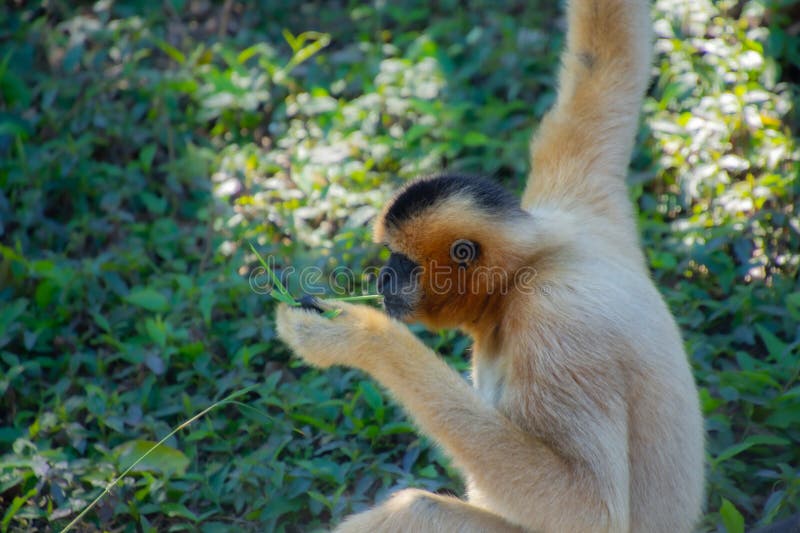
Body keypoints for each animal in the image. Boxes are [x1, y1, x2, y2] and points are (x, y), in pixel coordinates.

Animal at [275, 0, 705, 530]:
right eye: (389, 259)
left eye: (402, 261)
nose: (384, 276)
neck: (527, 269)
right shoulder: (581, 200)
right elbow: (608, 65)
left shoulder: (556, 329)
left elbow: (589, 509)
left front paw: (360, 336)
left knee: (417, 510)